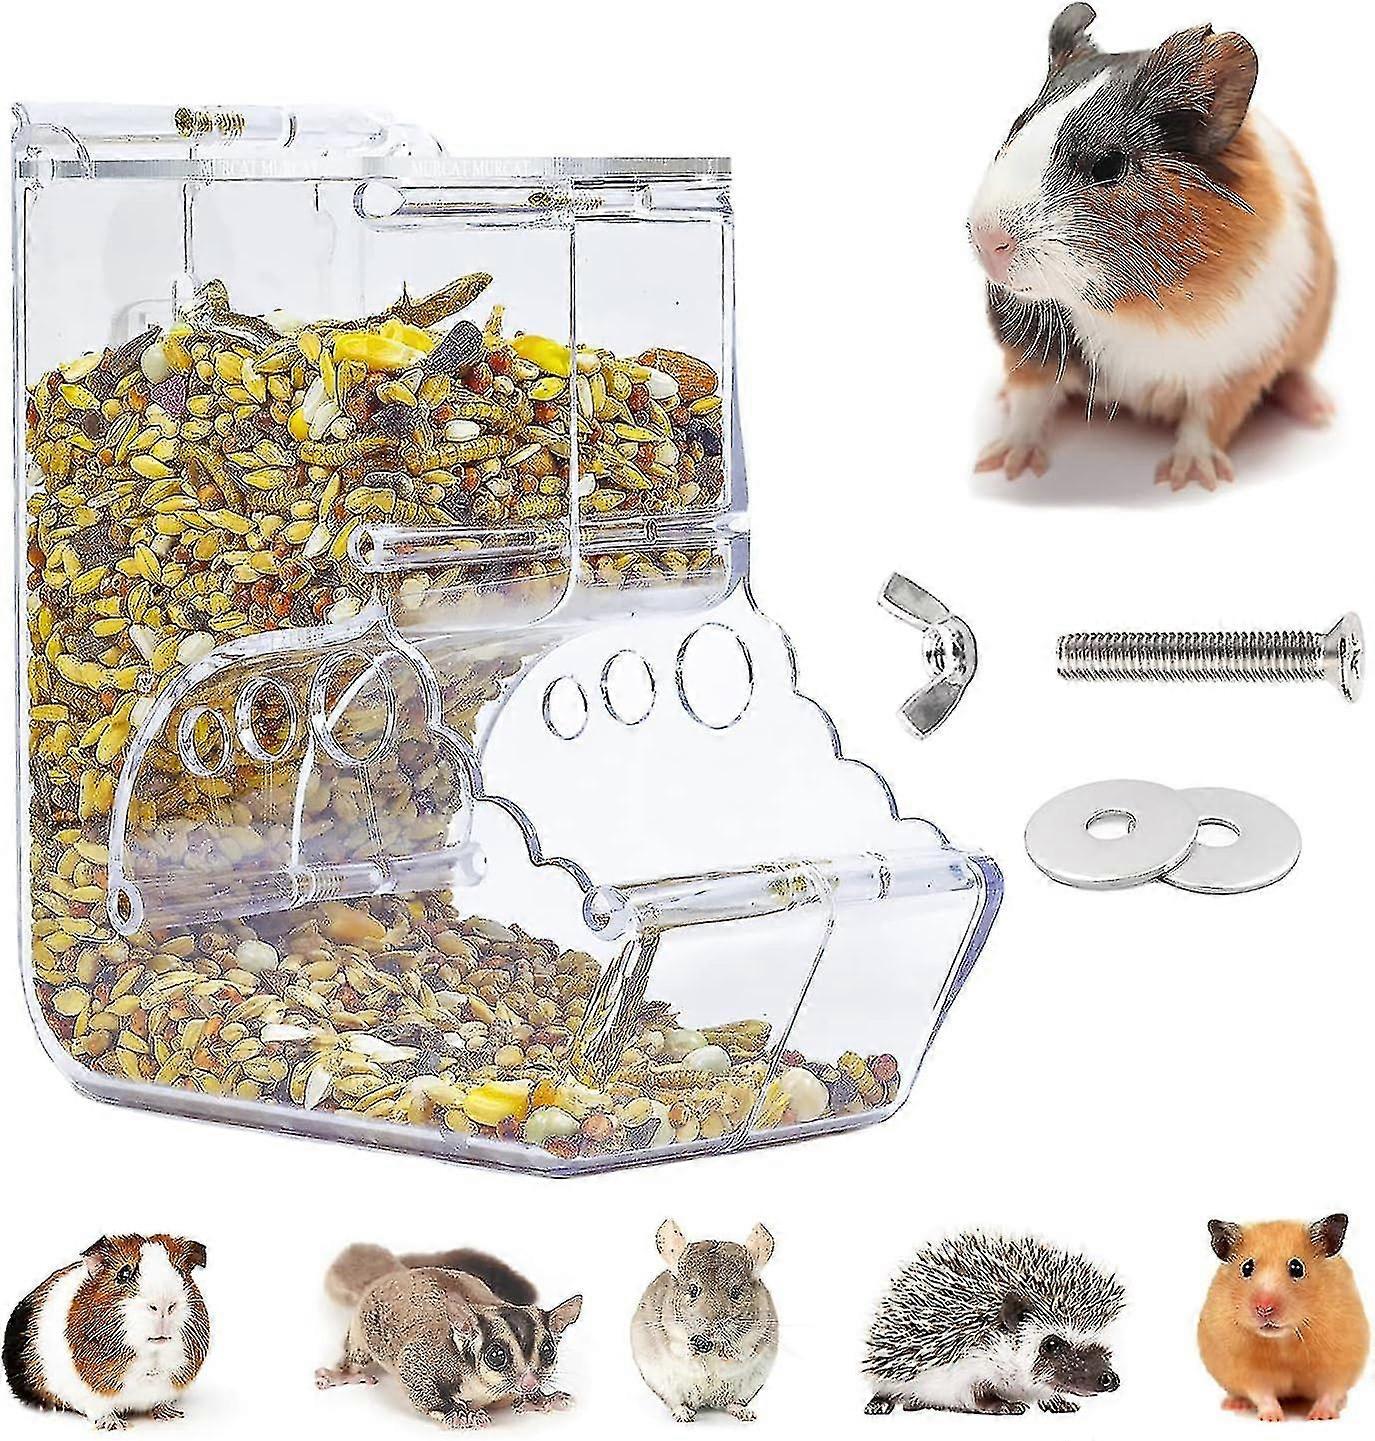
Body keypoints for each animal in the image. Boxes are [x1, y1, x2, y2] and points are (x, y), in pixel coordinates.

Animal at [3, 1235, 210, 1429]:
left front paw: (171, 1415)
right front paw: (116, 1426)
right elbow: (102, 1410)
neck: (153, 1360)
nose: (164, 1305)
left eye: (181, 1272)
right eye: (124, 1273)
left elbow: (161, 1402)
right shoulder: (90, 1397)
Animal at [630, 1219, 778, 1423]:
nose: (710, 1326)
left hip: (749, 1387)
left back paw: (745, 1413)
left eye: (736, 1292)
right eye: (693, 1290)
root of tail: (707, 1401)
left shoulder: (755, 1337)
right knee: (676, 1402)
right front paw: (698, 1344)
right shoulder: (670, 1333)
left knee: (732, 1403)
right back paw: (683, 1414)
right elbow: (684, 1349)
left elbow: (734, 1351)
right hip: (662, 1382)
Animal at [969, 4, 1335, 490]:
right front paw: (1005, 464)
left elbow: (1207, 420)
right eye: (1015, 126)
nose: (986, 239)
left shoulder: (1239, 364)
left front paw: (1186, 479)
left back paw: (1320, 411)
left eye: (1108, 164)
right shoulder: (1029, 347)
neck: (1134, 307)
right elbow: (1030, 402)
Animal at [1198, 1214, 1369, 1422]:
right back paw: (1235, 1404)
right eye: (1246, 1267)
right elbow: (1263, 1394)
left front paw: (1319, 1417)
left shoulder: (1340, 1362)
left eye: (1297, 1267)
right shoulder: (1249, 1371)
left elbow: (1330, 1391)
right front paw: (1272, 1418)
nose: (1264, 1308)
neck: (1283, 1341)